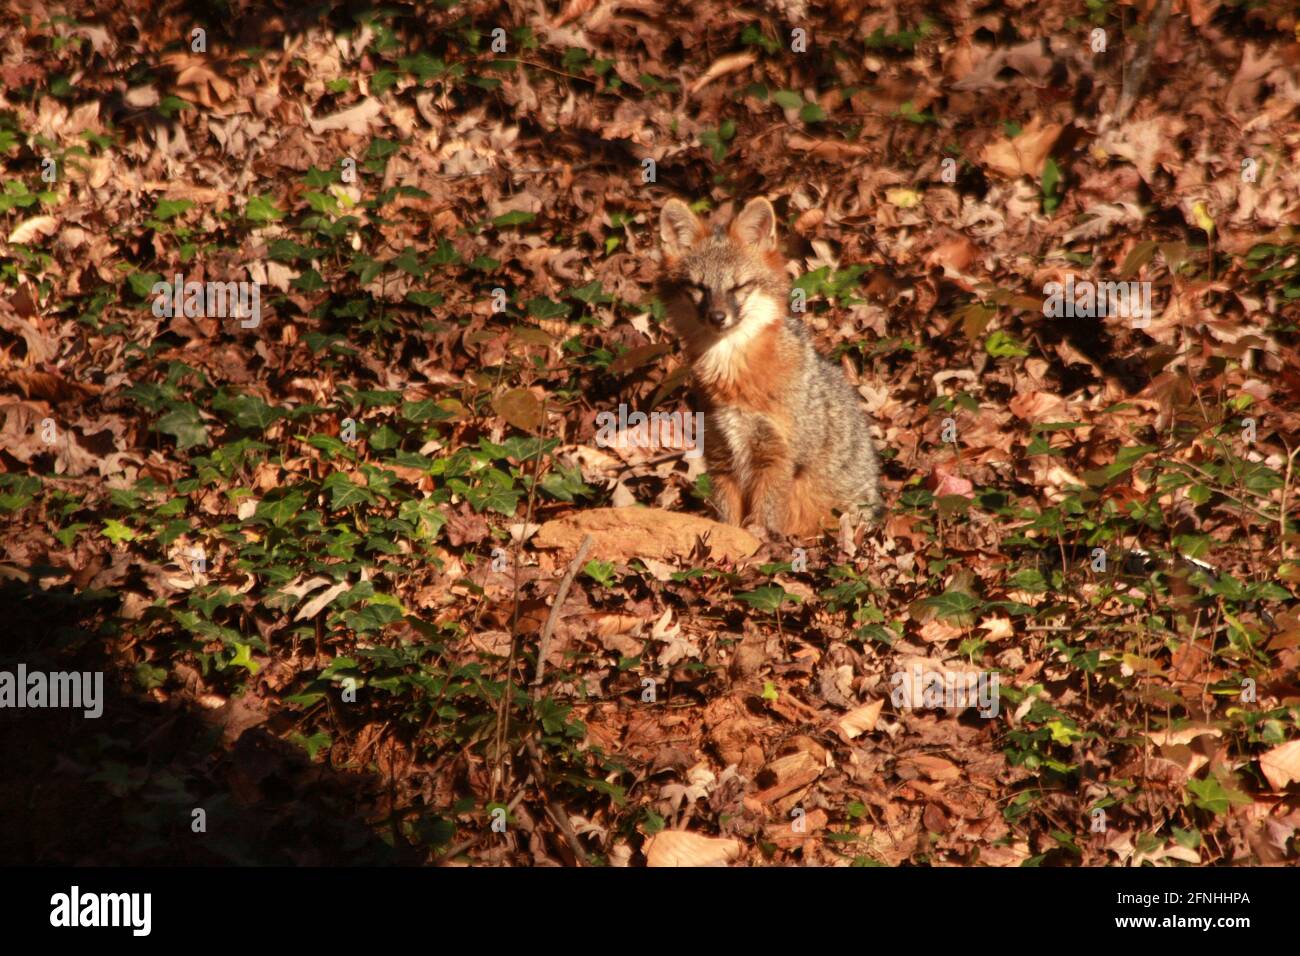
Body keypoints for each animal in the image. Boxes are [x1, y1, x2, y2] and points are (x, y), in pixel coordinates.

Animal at [658, 196, 883, 537]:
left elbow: (764, 518)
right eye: (699, 288)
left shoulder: (777, 457)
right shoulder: (721, 456)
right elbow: (728, 521)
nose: (717, 317)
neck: (731, 373)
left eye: (738, 287)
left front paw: (760, 541)